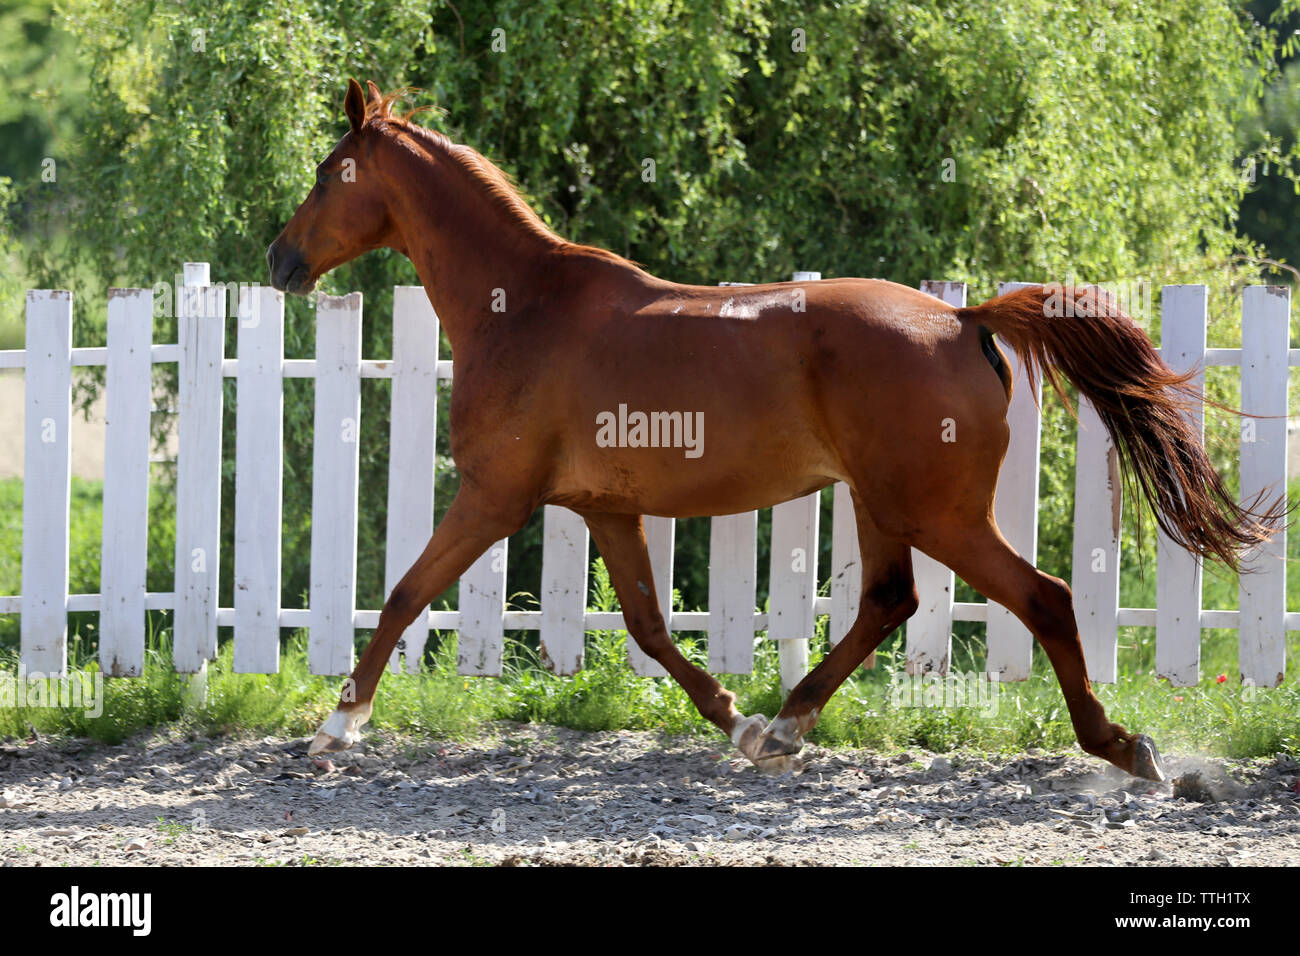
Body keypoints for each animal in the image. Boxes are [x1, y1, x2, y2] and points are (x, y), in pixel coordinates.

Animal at [268, 80, 1283, 782]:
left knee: (1044, 597)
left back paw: (1122, 748)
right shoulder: (605, 509)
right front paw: (739, 723)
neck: (524, 308)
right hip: (884, 504)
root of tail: (965, 321)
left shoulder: (494, 496)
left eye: (328, 175)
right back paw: (790, 724)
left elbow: (405, 593)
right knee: (889, 602)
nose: (279, 260)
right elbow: (648, 627)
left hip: (939, 511)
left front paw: (335, 727)